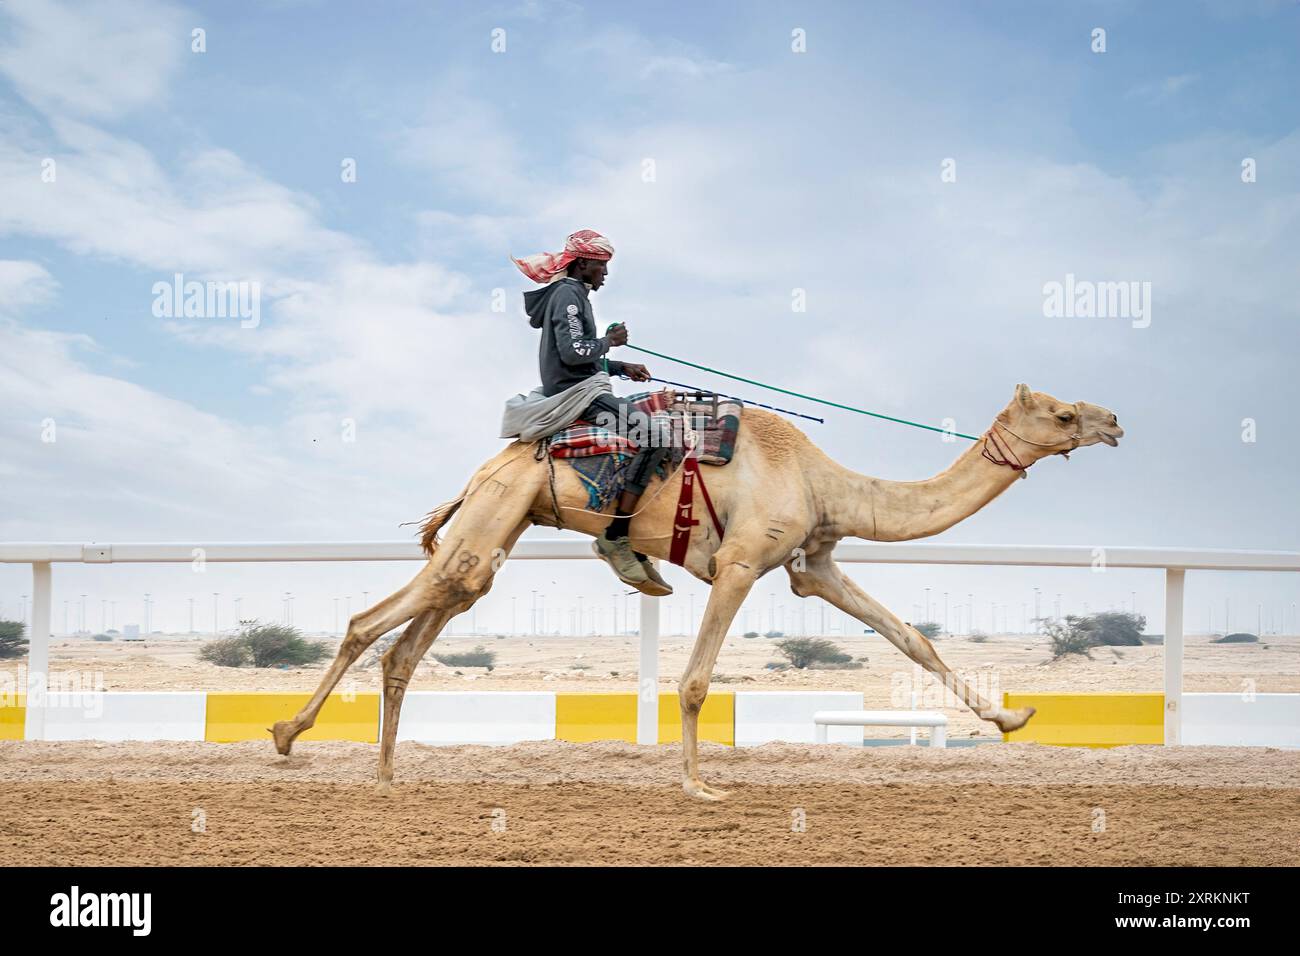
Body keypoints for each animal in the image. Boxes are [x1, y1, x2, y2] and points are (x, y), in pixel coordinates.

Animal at [272, 383, 1122, 800]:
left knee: (421, 627)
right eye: (1061, 414)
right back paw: (287, 736)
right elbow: (694, 680)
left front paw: (1012, 718)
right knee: (367, 620)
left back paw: (387, 774)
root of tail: (493, 462)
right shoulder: (742, 561)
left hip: (495, 531)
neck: (823, 482)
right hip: (495, 515)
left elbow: (909, 635)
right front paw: (697, 784)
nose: (1113, 420)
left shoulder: (814, 564)